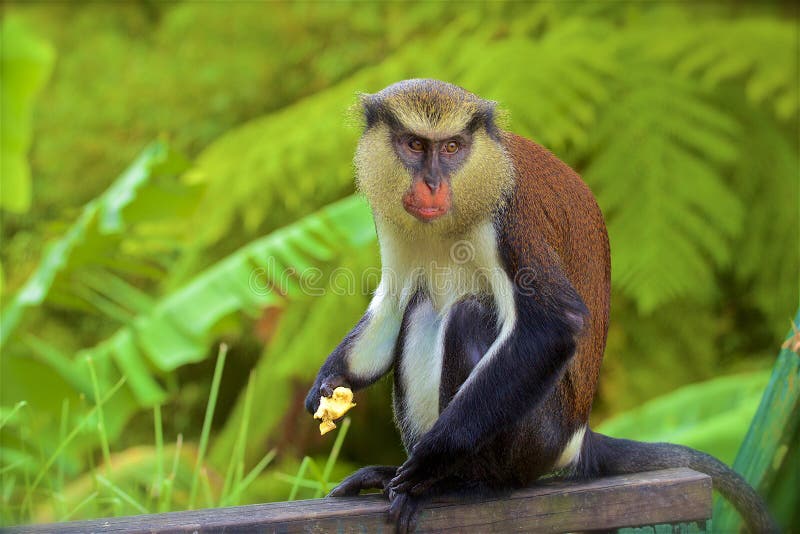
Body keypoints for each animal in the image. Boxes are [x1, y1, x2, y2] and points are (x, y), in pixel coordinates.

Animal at [304, 79, 777, 533]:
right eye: (415, 145)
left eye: (452, 147)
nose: (432, 184)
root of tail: (577, 440)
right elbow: (393, 305)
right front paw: (329, 384)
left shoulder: (511, 219)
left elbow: (554, 322)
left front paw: (433, 456)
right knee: (421, 307)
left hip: (534, 438)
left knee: (467, 316)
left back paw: (453, 482)